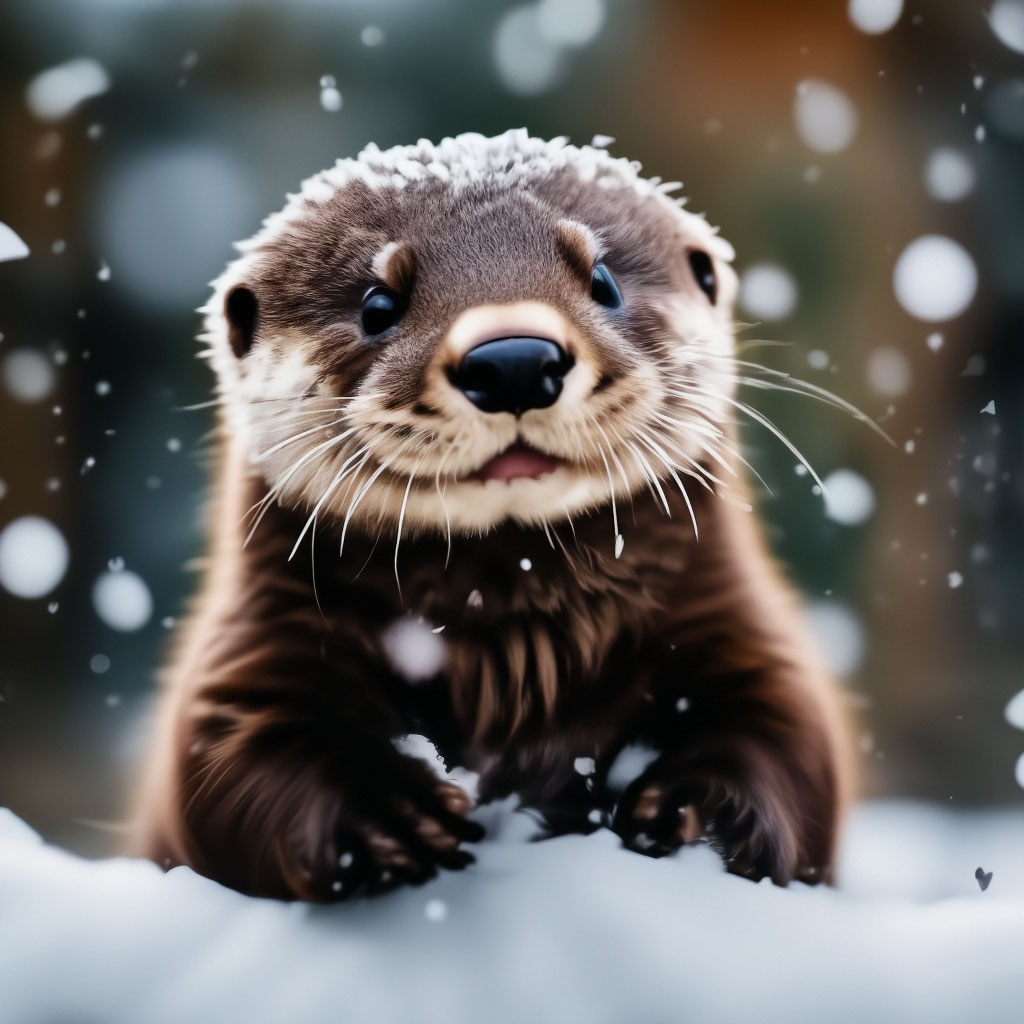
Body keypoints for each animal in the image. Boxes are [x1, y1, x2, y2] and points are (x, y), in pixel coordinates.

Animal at [134, 130, 852, 901]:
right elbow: (222, 766)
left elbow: (792, 735)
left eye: (604, 280)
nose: (513, 359)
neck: (510, 660)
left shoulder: (744, 629)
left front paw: (693, 811)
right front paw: (390, 816)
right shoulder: (247, 651)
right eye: (378, 304)